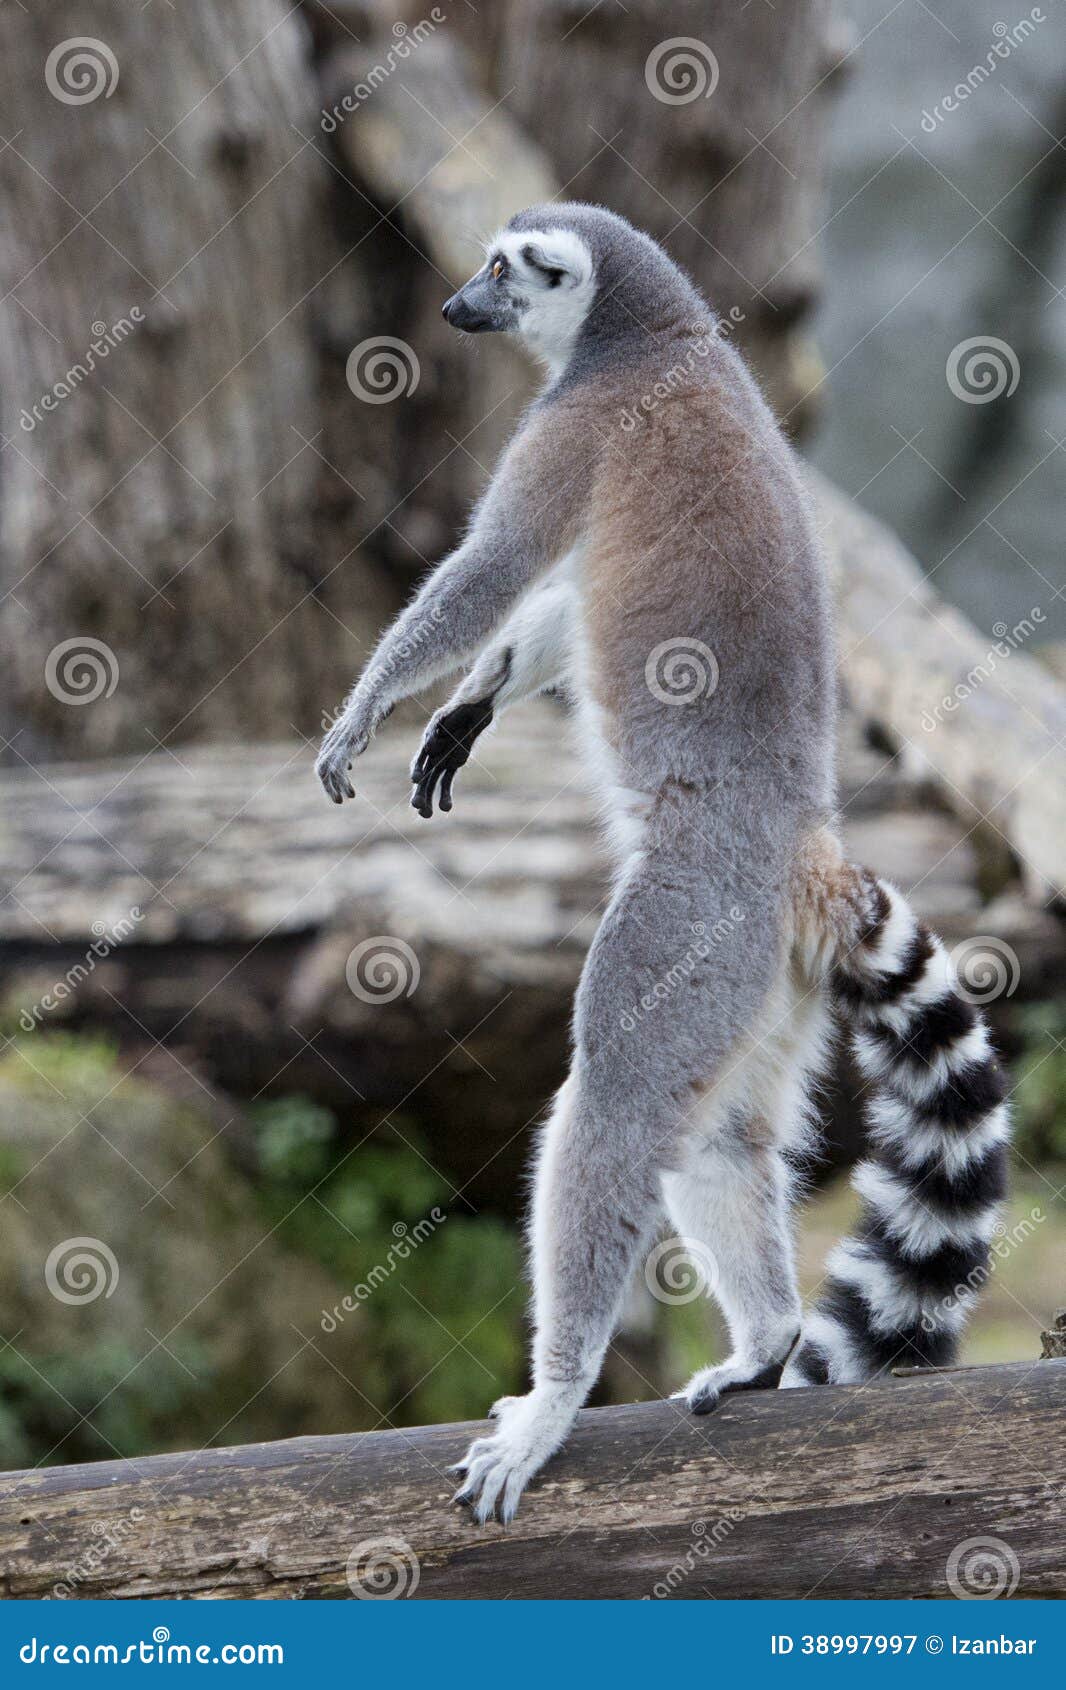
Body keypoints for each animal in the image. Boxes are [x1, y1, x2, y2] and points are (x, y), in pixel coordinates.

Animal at [316, 204, 1010, 1525]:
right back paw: (761, 1343)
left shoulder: (571, 428)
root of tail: (800, 848)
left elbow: (492, 568)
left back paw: (554, 1399)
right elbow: (550, 608)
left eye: (499, 269)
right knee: (714, 1136)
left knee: (618, 1095)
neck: (656, 329)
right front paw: (467, 708)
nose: (455, 310)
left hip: (688, 928)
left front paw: (370, 707)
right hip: (755, 986)